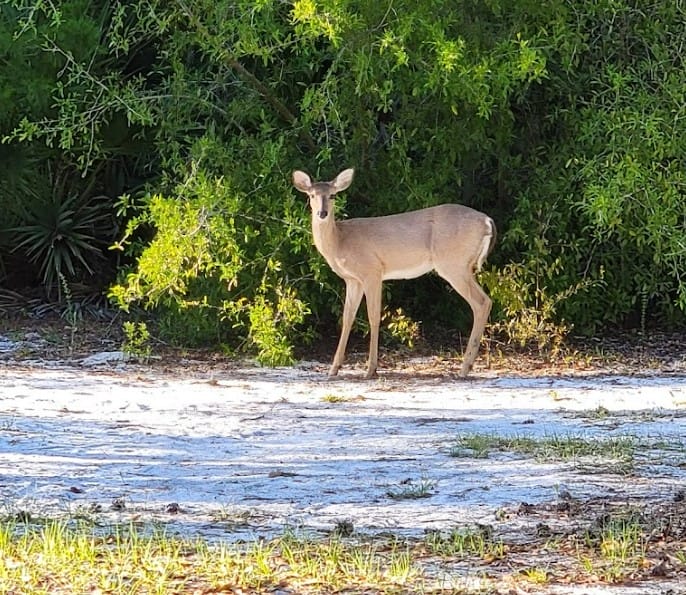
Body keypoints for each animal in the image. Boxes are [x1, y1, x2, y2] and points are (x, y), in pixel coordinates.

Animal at [292, 168, 495, 379]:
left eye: (332, 195)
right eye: (311, 195)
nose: (322, 213)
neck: (340, 241)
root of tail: (487, 220)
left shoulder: (372, 271)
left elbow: (373, 317)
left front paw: (370, 369)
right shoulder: (353, 280)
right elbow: (347, 318)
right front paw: (334, 368)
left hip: (453, 263)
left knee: (481, 302)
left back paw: (464, 368)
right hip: (463, 266)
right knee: (486, 301)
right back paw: (467, 366)